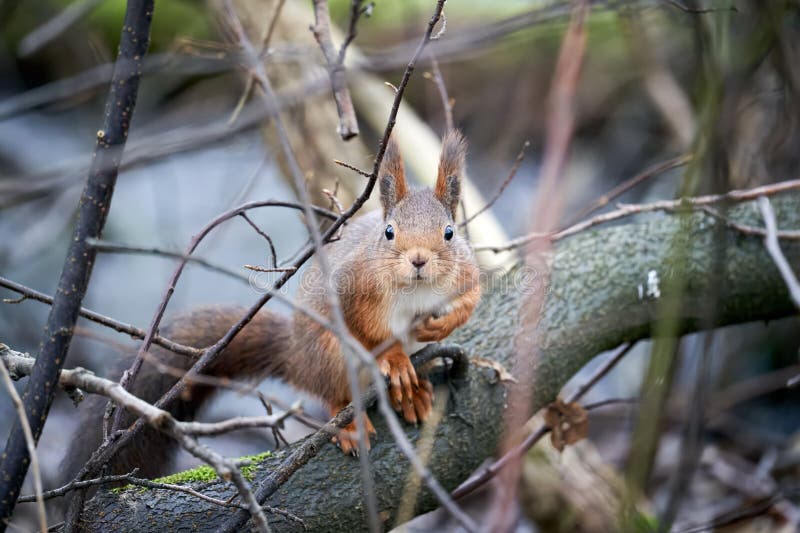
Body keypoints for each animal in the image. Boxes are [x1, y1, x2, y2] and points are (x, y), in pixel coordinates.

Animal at [63, 130, 481, 479]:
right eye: (389, 232)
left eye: (449, 232)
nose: (419, 260)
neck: (416, 289)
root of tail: (297, 357)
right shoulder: (352, 289)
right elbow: (363, 328)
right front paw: (392, 357)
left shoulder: (466, 273)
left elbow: (472, 298)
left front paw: (443, 324)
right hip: (330, 358)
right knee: (335, 396)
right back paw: (352, 421)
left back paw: (415, 394)